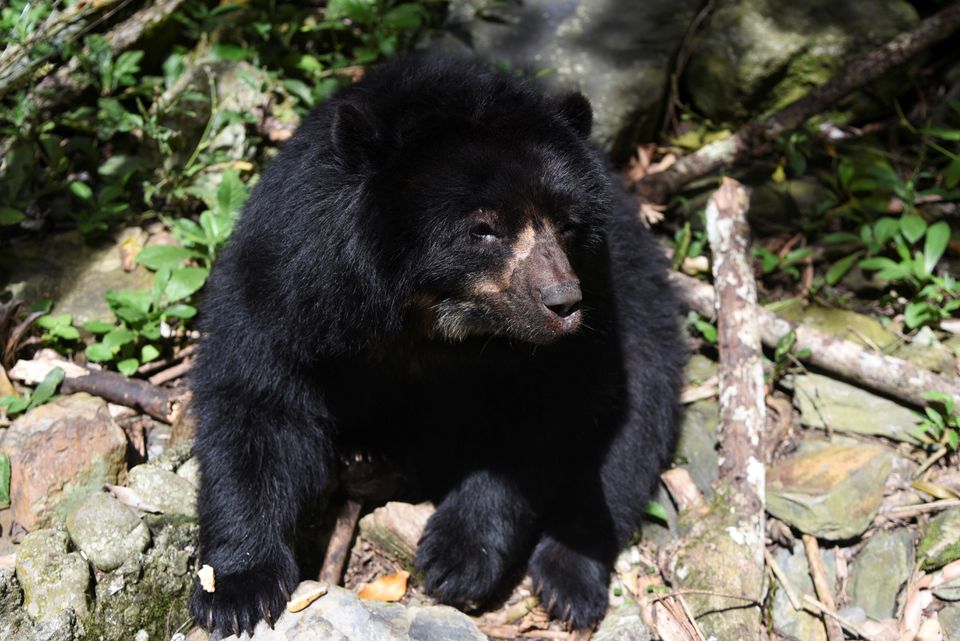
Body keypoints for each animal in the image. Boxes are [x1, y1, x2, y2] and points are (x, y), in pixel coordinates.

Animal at [188, 55, 685, 636]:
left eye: (567, 224)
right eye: (483, 229)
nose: (563, 304)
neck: (432, 320)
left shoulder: (584, 318)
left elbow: (542, 422)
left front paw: (457, 558)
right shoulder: (289, 277)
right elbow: (257, 401)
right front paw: (237, 590)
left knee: (627, 446)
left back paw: (566, 581)